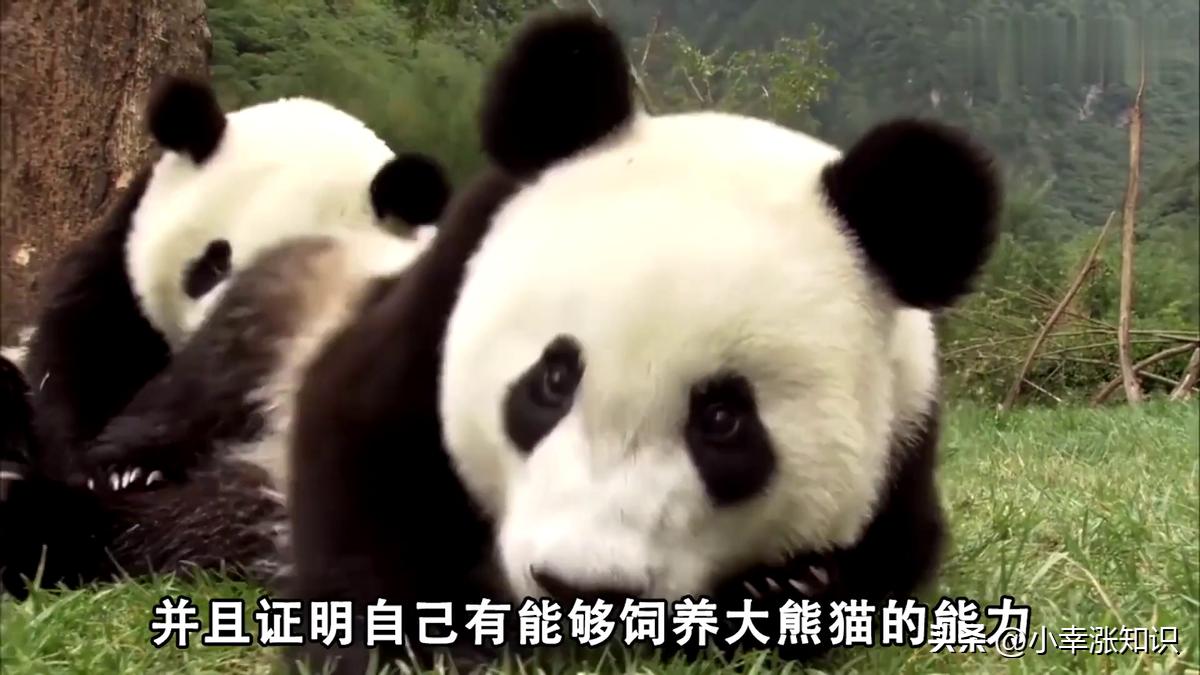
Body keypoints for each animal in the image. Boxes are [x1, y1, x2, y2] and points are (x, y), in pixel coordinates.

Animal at [270, 10, 1000, 674]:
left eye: (724, 420)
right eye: (552, 380)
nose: (580, 587)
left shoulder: (904, 430)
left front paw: (788, 589)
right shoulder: (437, 301)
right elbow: (360, 442)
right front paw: (398, 645)